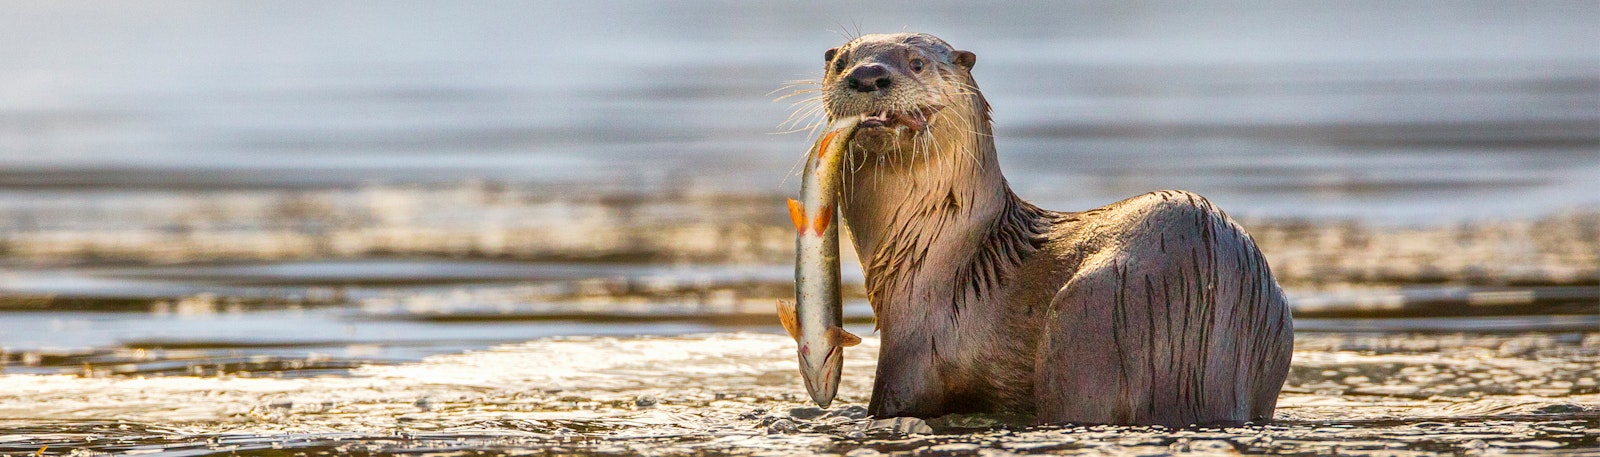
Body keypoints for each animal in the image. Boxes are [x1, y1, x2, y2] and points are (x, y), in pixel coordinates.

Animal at [806, 33, 1294, 427]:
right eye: (842, 61)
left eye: (917, 62)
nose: (868, 74)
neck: (937, 249)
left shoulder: (910, 352)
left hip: (1092, 315)